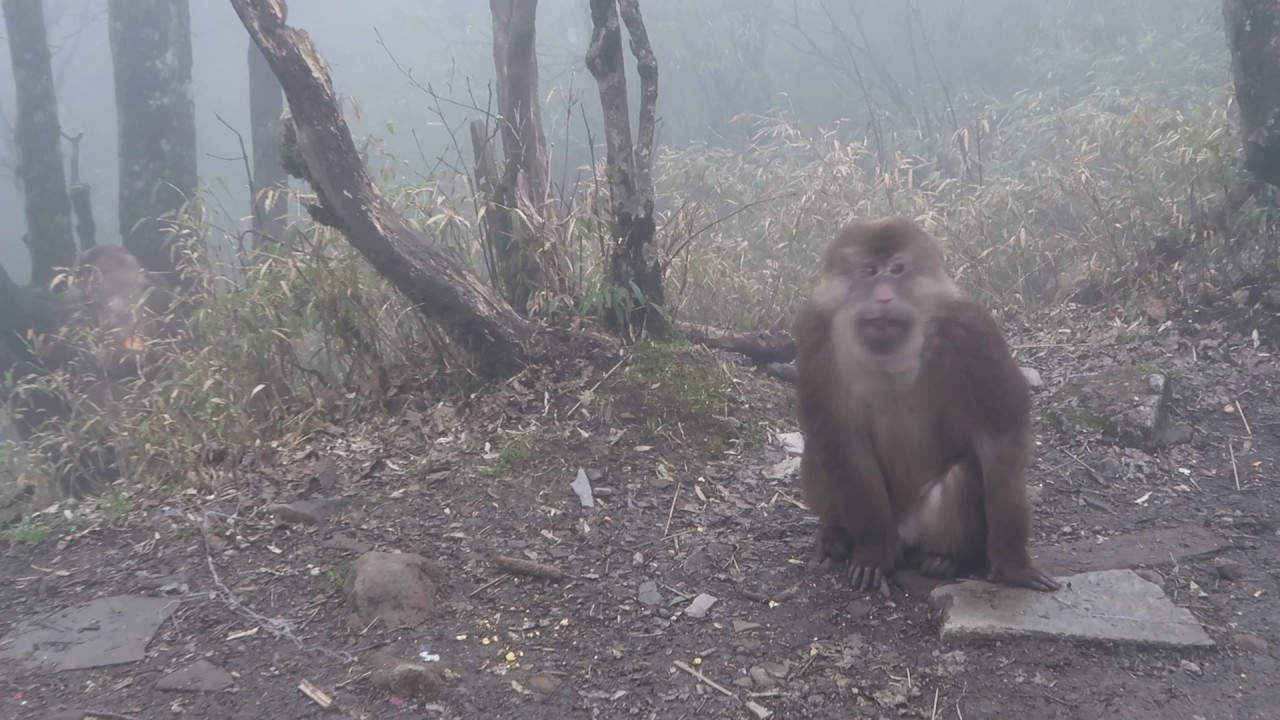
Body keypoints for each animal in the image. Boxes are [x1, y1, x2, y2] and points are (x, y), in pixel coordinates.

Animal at [793, 216, 1058, 594]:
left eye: (897, 269)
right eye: (869, 271)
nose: (884, 296)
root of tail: (906, 534)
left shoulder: (969, 329)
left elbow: (999, 437)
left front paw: (1013, 565)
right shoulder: (818, 334)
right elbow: (842, 441)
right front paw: (874, 551)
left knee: (961, 476)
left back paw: (946, 558)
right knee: (818, 451)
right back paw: (837, 535)